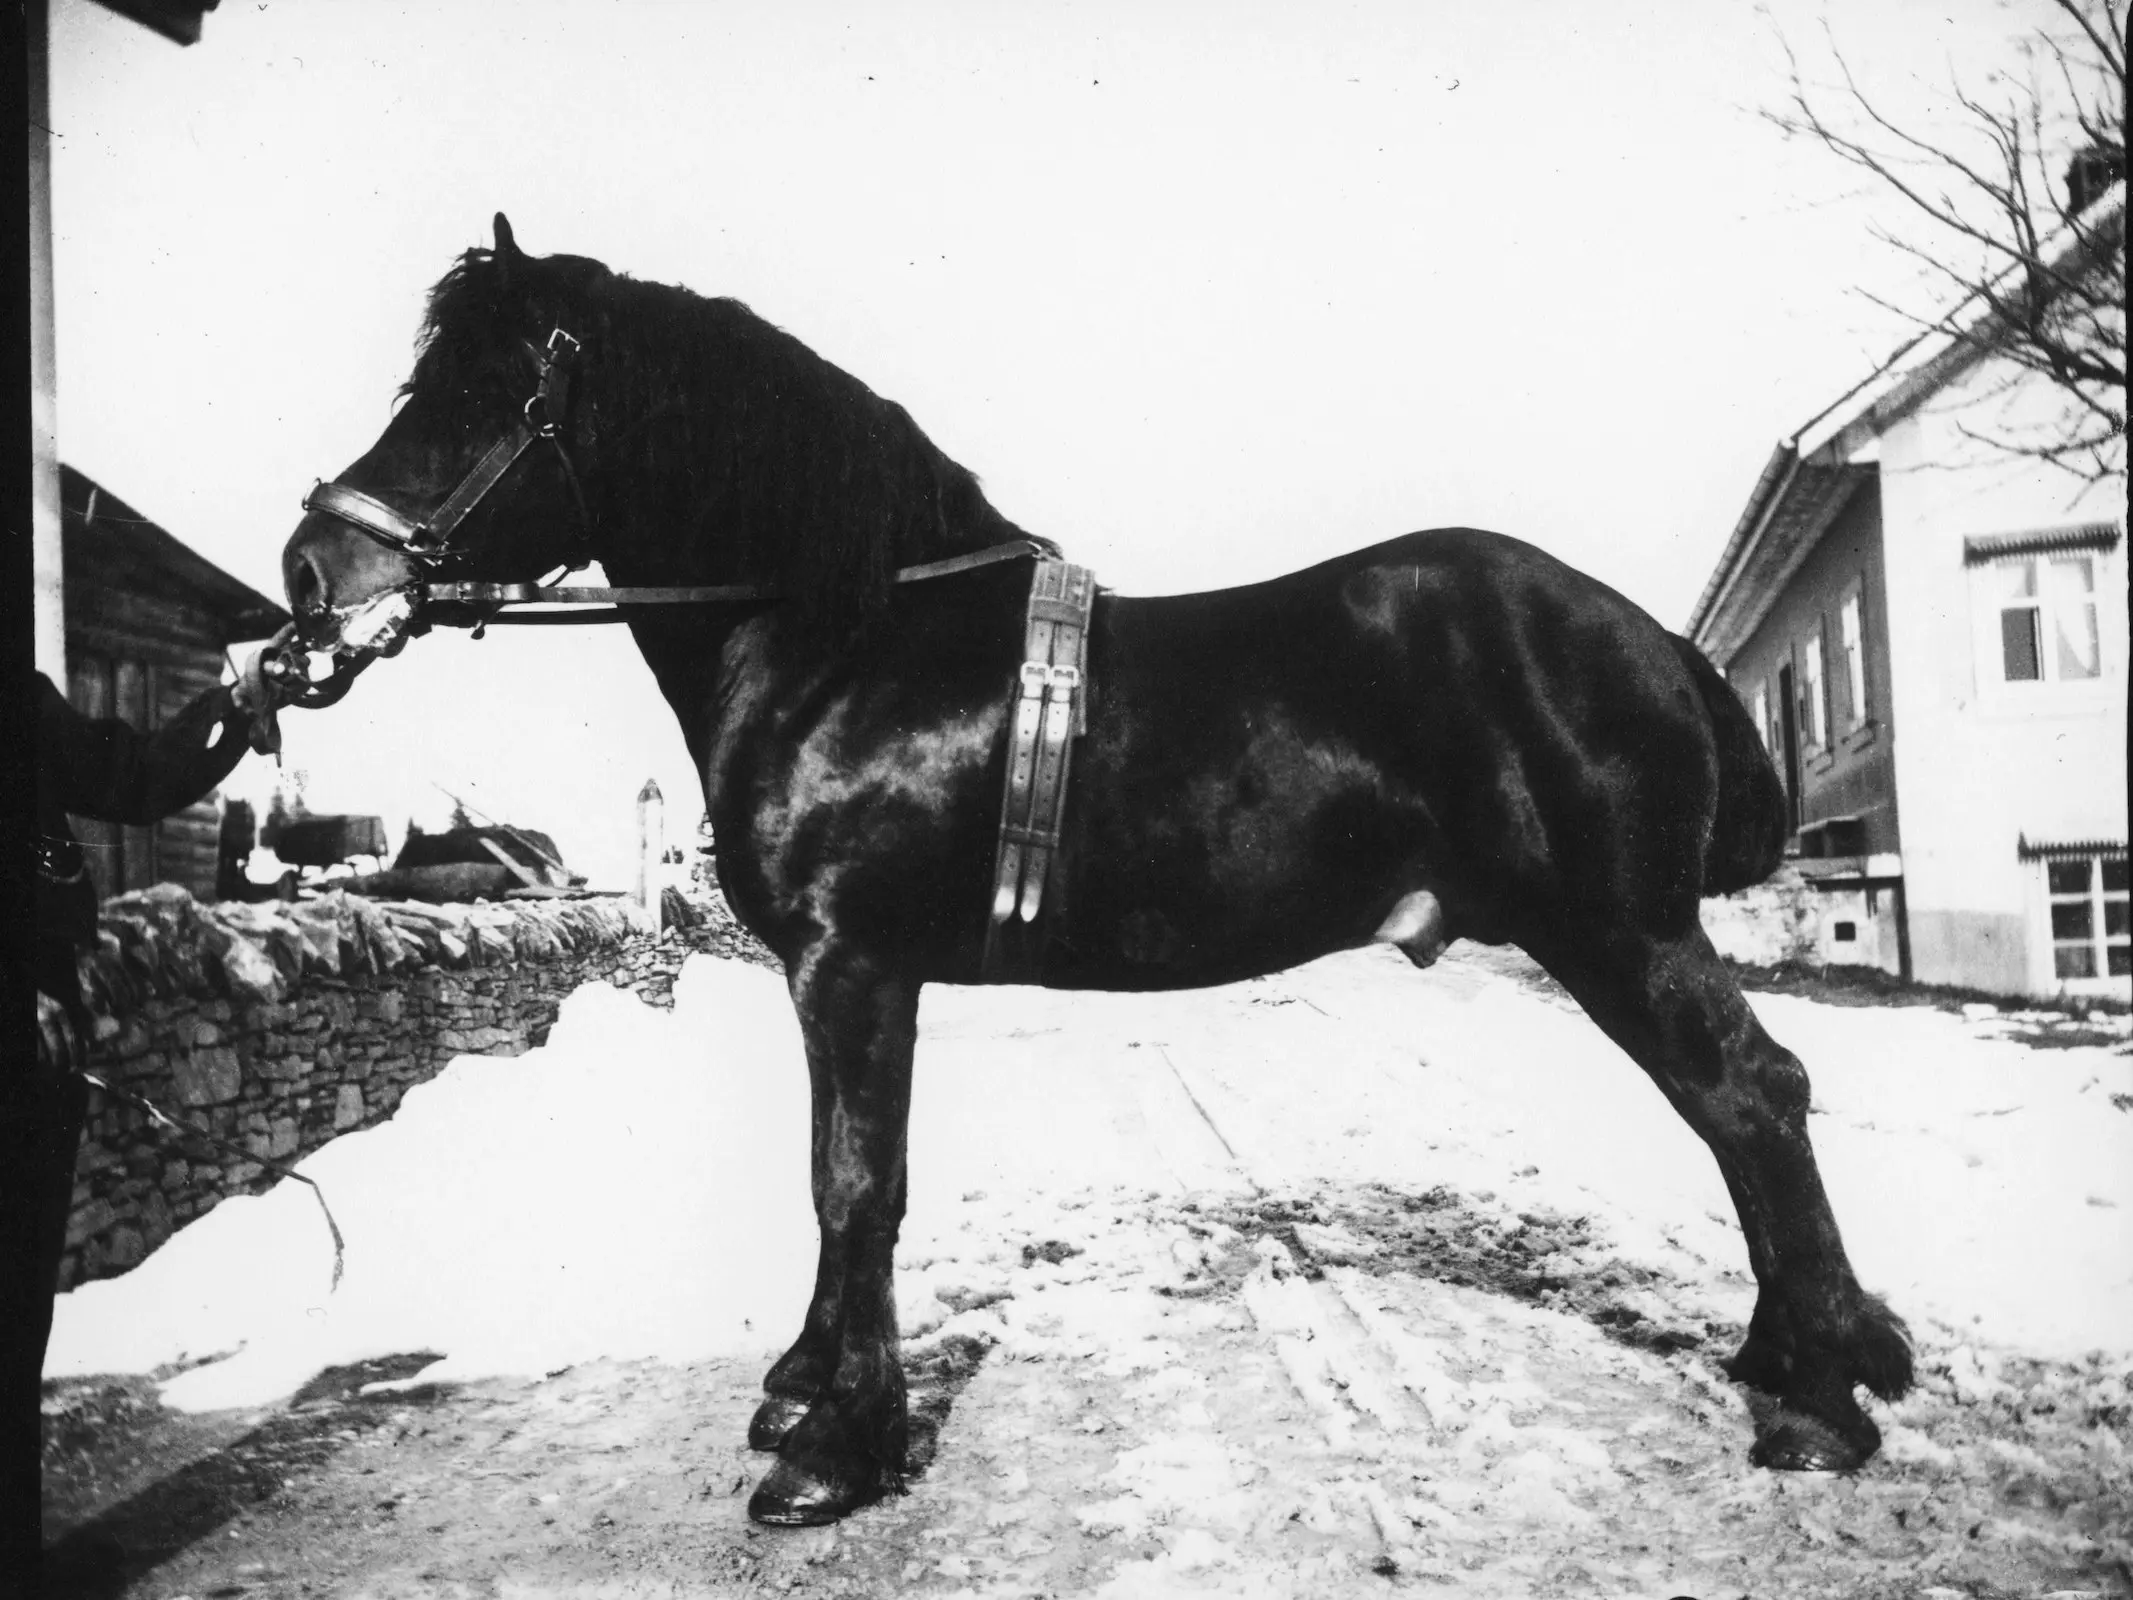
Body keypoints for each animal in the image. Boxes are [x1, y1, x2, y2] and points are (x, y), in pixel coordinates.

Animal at [280, 214, 1913, 1526]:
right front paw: (805, 1388)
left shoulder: (851, 963)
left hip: (1621, 933)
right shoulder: (842, 974)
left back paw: (1820, 1401)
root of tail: (1655, 641)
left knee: (1751, 1097)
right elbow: (841, 1179)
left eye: (484, 398)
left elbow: (854, 1182)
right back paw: (1797, 1358)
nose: (310, 575)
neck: (848, 639)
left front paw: (831, 1449)